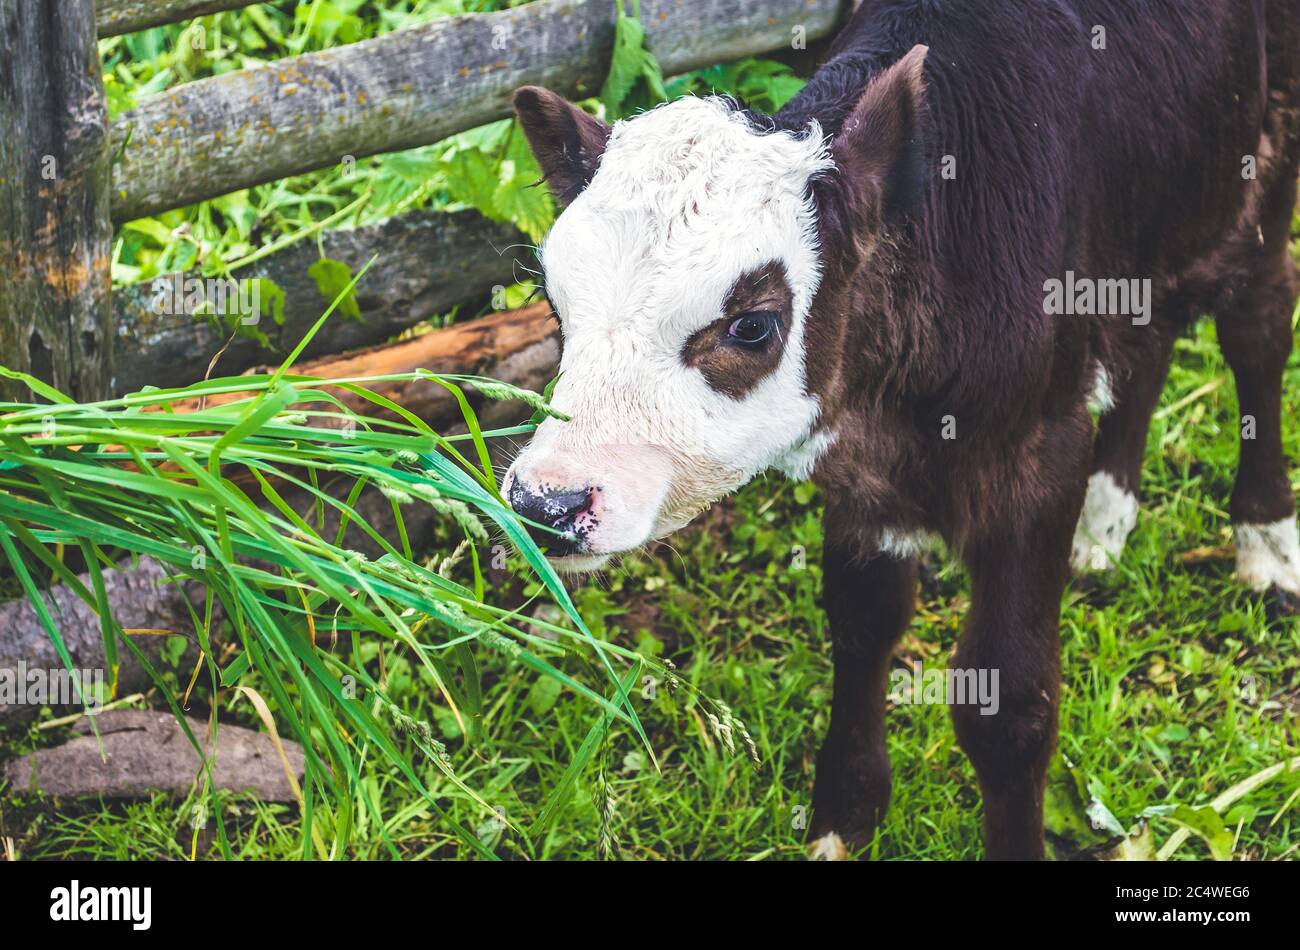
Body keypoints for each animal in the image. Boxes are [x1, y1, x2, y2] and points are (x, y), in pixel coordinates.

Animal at [503, 0, 1300, 859]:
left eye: (752, 325)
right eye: (554, 305)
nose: (547, 503)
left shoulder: (1037, 453)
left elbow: (1008, 704)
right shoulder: (869, 472)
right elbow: (862, 626)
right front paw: (845, 815)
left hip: (1267, 162)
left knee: (1257, 323)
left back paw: (1265, 540)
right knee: (1149, 339)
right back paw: (1106, 520)